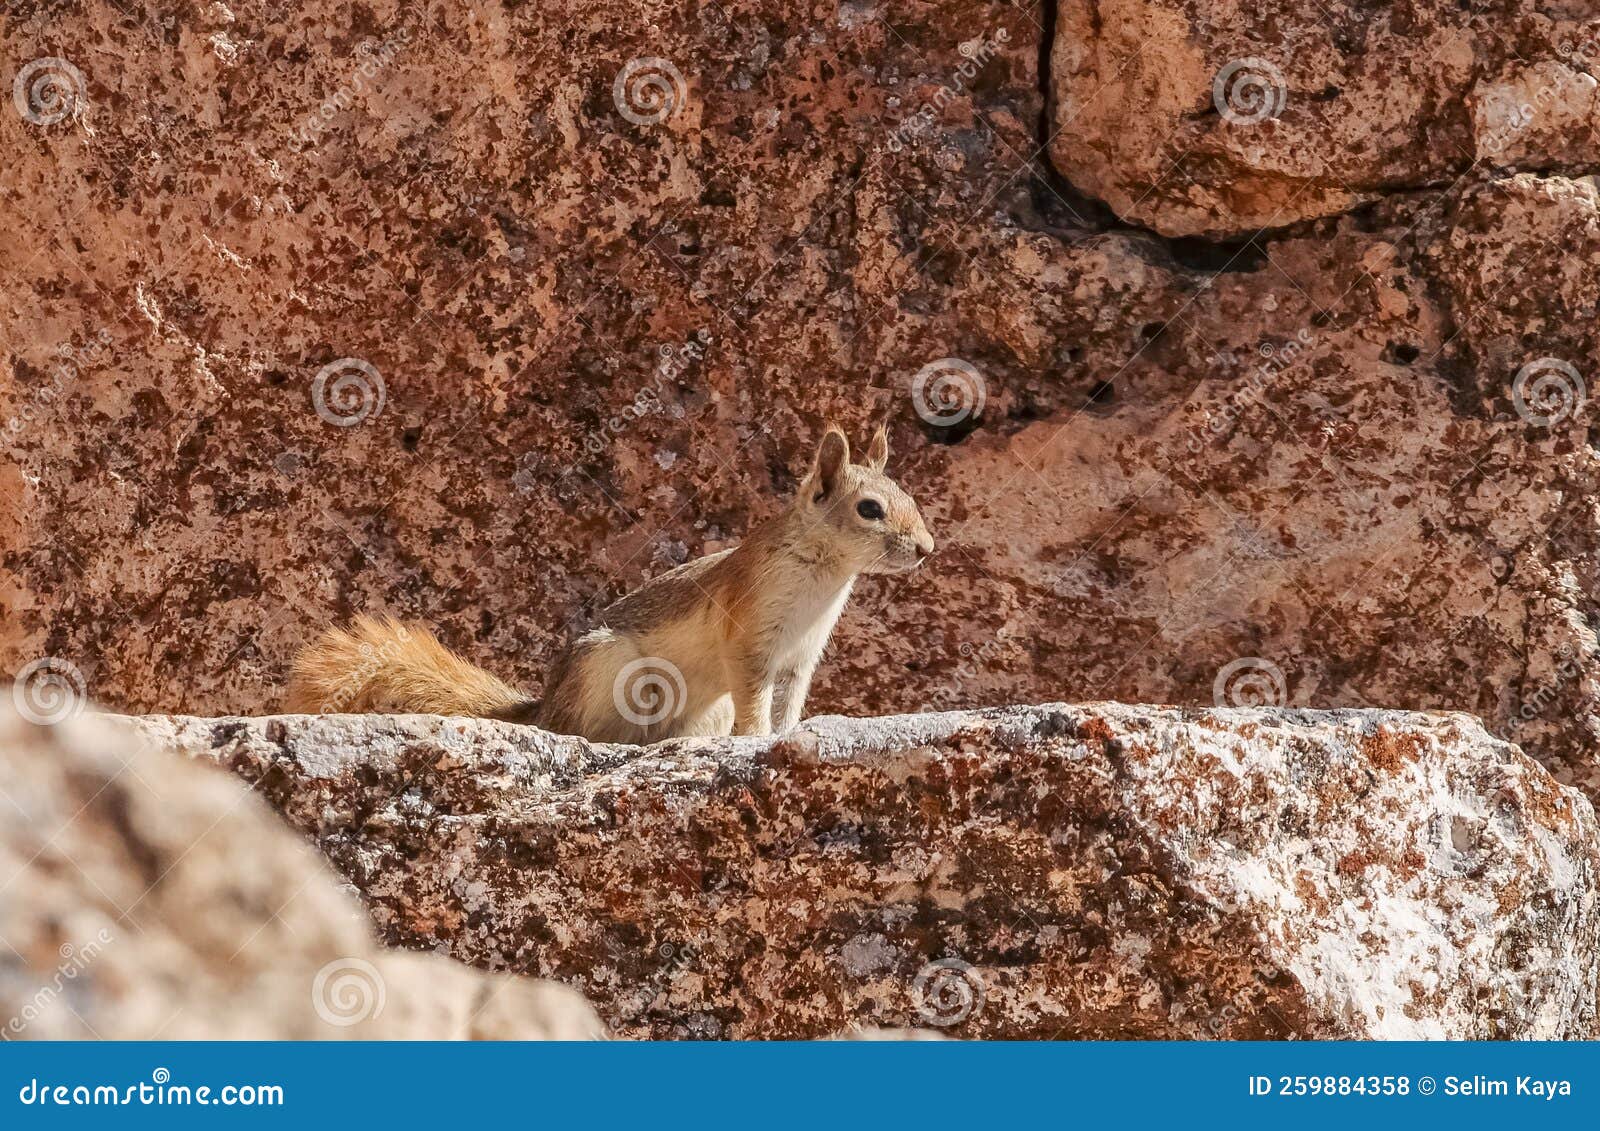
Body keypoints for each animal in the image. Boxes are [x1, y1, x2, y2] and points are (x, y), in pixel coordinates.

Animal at [286, 424, 935, 744]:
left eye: (909, 493)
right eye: (871, 509)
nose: (928, 549)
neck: (825, 575)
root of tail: (541, 710)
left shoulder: (801, 655)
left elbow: (790, 702)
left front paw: (791, 732)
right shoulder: (750, 635)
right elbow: (754, 696)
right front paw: (754, 739)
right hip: (611, 669)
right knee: (585, 732)